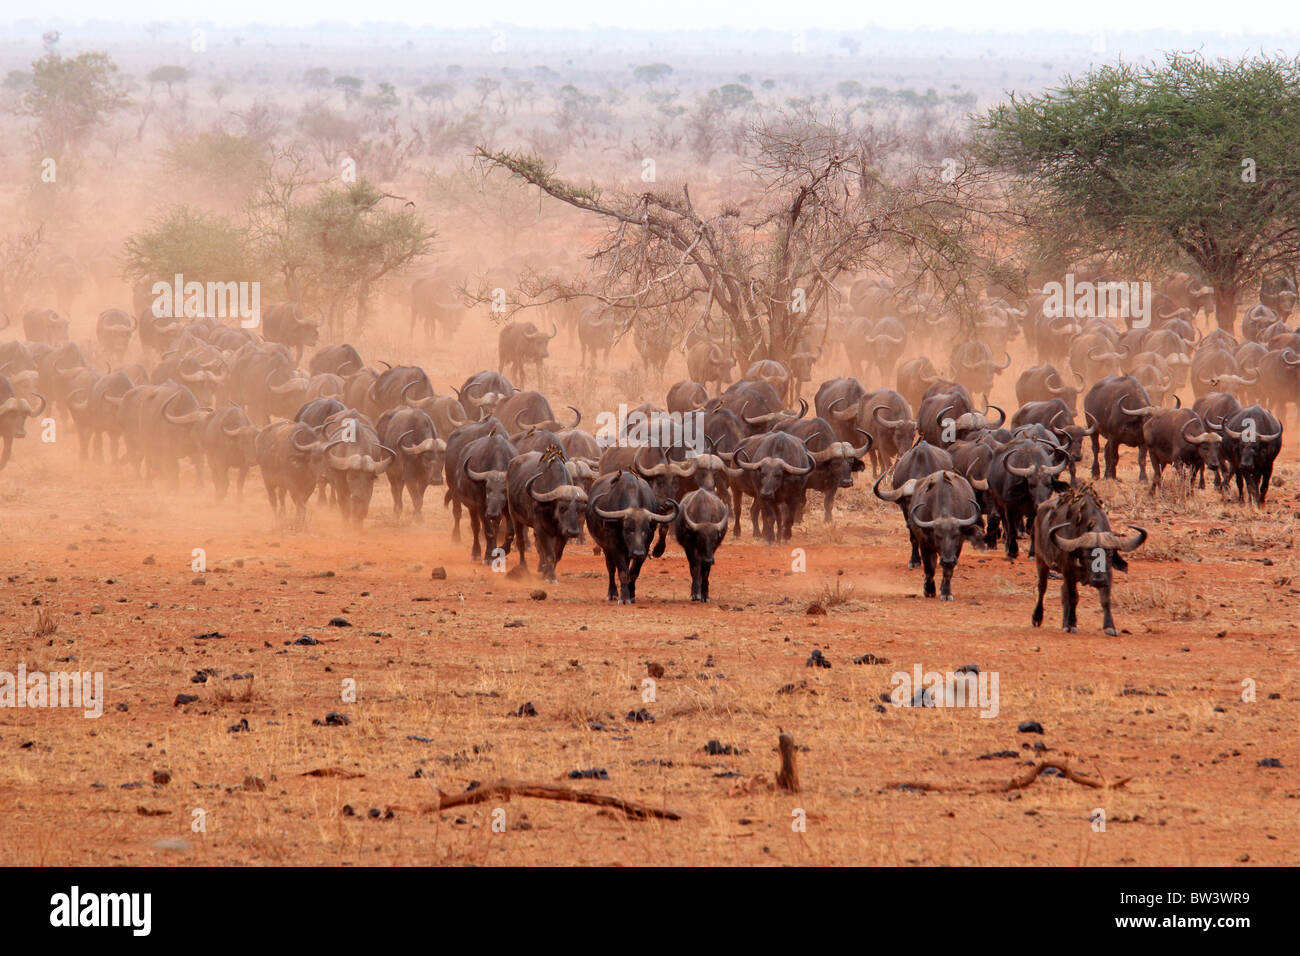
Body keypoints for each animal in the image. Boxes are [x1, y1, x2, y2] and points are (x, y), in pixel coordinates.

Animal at [1032, 486, 1147, 635]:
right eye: (1086, 554)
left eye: (1109, 555)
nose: (1099, 580)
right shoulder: (1068, 572)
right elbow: (1073, 597)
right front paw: (1071, 624)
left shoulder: (1108, 575)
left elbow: (1105, 599)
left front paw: (1109, 626)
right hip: (1041, 560)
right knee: (1042, 588)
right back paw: (1038, 618)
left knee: (1062, 592)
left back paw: (1064, 622)